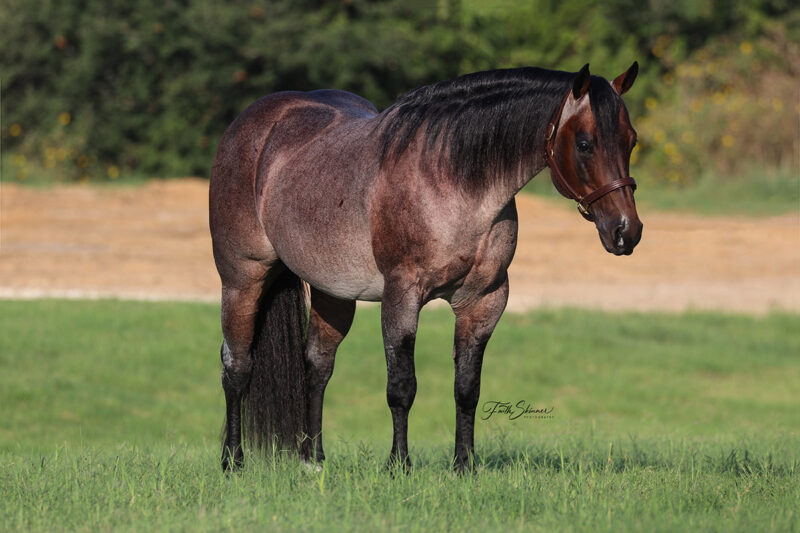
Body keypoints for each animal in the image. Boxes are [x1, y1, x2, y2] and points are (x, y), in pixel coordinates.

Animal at [209, 62, 643, 472]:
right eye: (585, 144)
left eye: (631, 139)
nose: (626, 232)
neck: (452, 180)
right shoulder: (402, 296)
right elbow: (401, 387)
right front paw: (399, 465)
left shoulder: (484, 301)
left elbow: (467, 388)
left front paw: (464, 465)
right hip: (241, 279)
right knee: (237, 366)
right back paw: (233, 462)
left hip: (333, 293)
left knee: (317, 365)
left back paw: (312, 460)